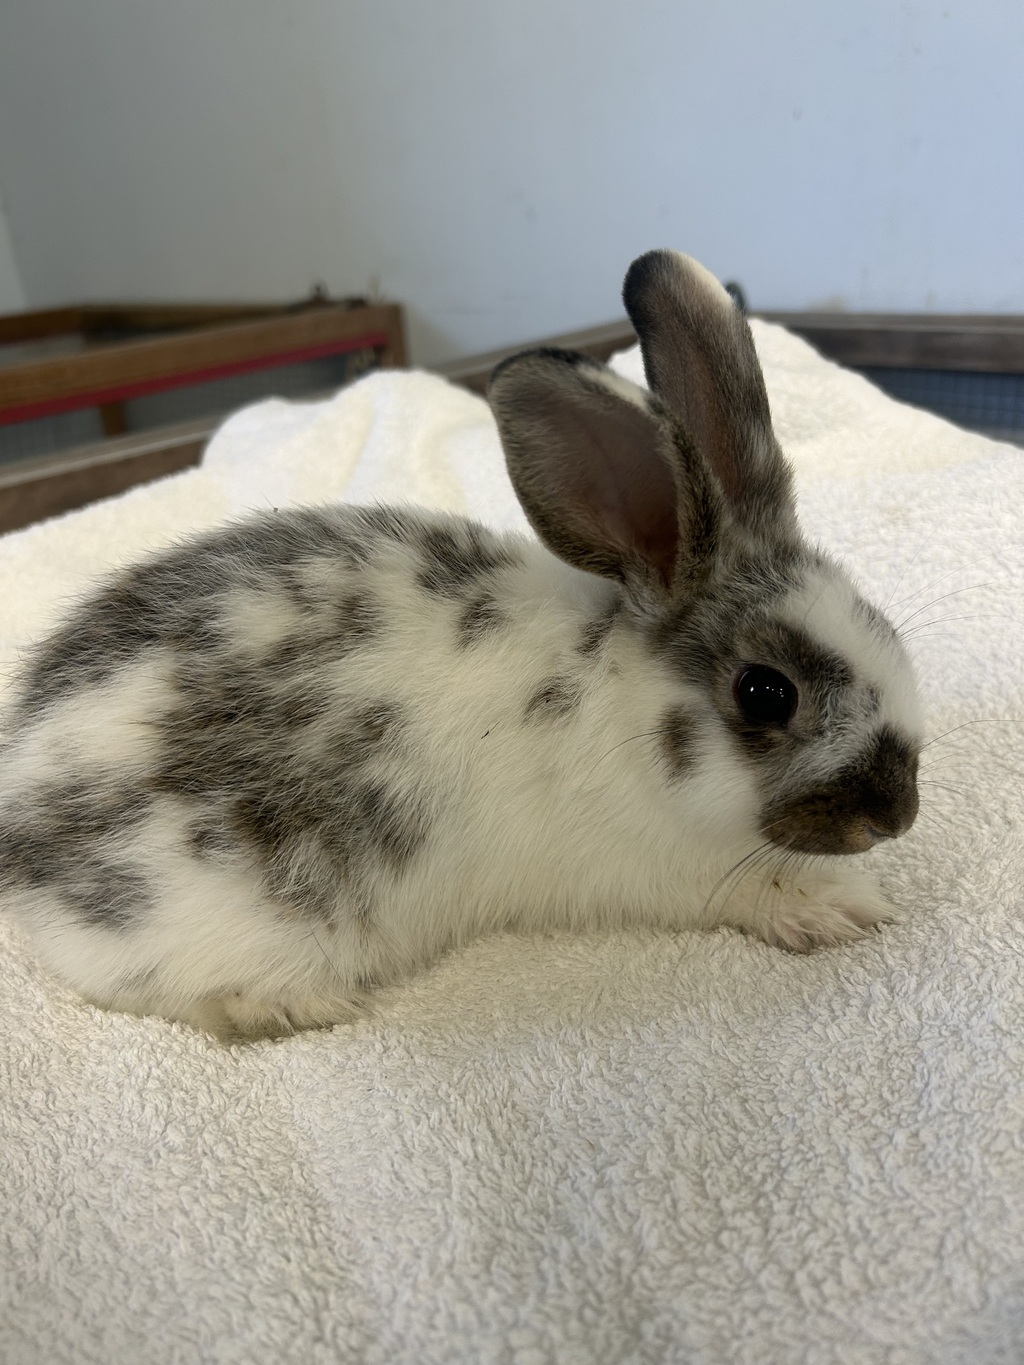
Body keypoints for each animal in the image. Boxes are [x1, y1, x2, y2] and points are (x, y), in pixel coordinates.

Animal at [0, 250, 922, 1041]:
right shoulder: (662, 873)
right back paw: (294, 1005)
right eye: (766, 692)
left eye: (883, 628)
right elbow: (752, 889)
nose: (897, 813)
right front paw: (837, 905)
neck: (622, 692)